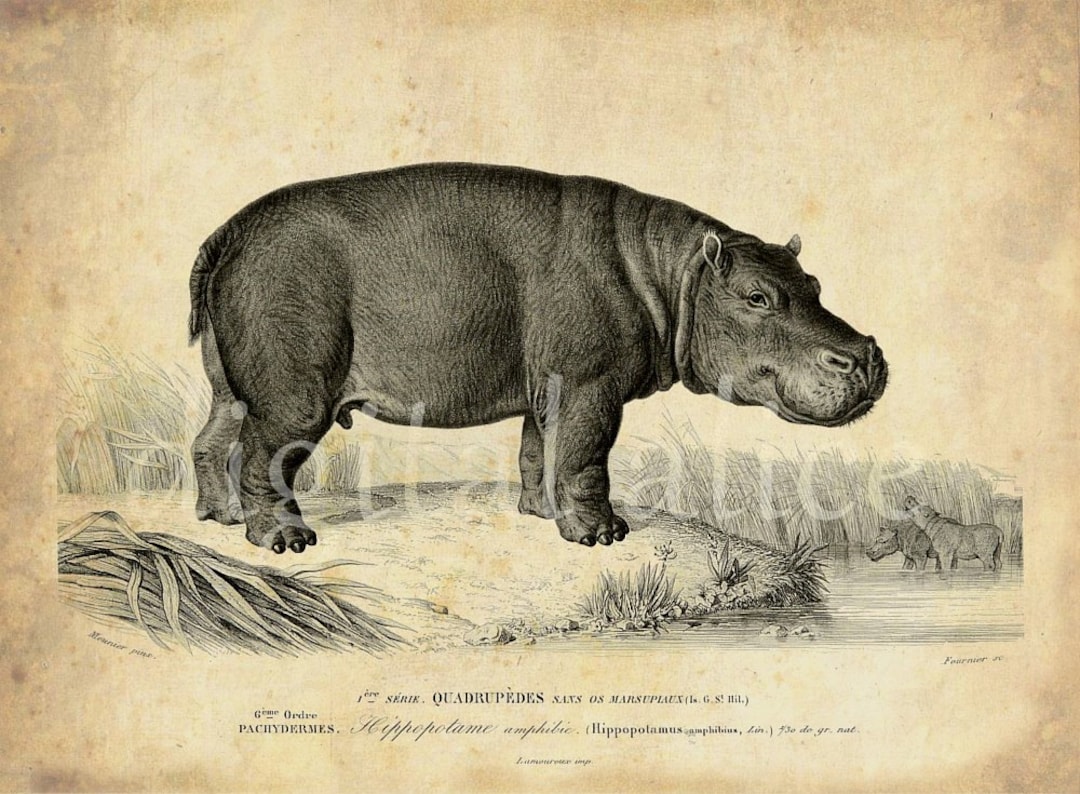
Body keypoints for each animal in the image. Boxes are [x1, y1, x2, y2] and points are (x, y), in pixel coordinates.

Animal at [188, 163, 888, 554]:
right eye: (757, 296)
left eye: (814, 284)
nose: (866, 353)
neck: (673, 272)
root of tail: (228, 231)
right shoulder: (590, 388)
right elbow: (584, 458)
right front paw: (602, 536)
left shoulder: (548, 386)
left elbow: (539, 451)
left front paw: (541, 514)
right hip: (294, 393)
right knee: (263, 454)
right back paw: (285, 541)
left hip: (232, 385)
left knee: (210, 440)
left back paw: (222, 517)